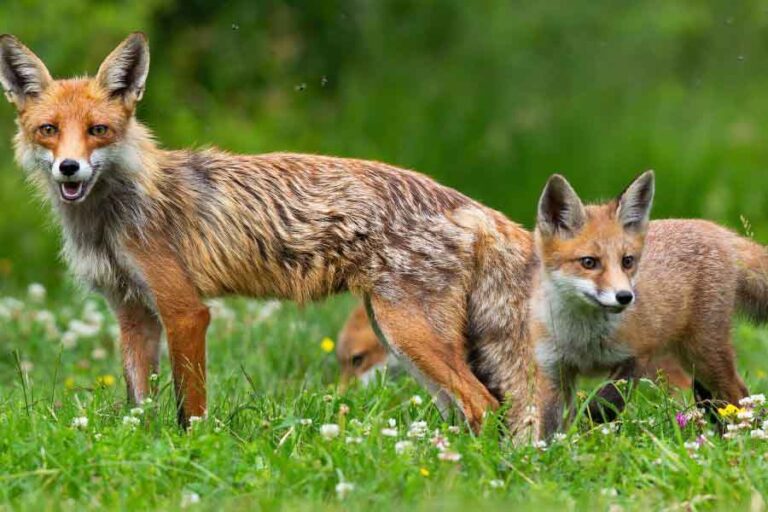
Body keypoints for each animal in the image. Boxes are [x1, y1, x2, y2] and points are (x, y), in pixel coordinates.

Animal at [0, 32, 538, 433]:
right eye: (49, 130)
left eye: (98, 130)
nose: (69, 169)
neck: (112, 219)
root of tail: (467, 204)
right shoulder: (131, 313)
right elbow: (139, 407)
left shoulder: (185, 311)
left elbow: (189, 407)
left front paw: (192, 451)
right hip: (400, 335)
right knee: (466, 408)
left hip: (409, 331)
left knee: (485, 405)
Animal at [530, 171, 768, 438]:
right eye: (589, 262)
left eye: (627, 261)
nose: (625, 296)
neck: (584, 340)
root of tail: (716, 228)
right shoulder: (554, 368)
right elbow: (549, 428)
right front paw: (556, 446)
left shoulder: (637, 355)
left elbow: (605, 404)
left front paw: (586, 431)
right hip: (691, 360)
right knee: (716, 401)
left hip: (704, 353)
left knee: (739, 394)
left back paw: (744, 435)